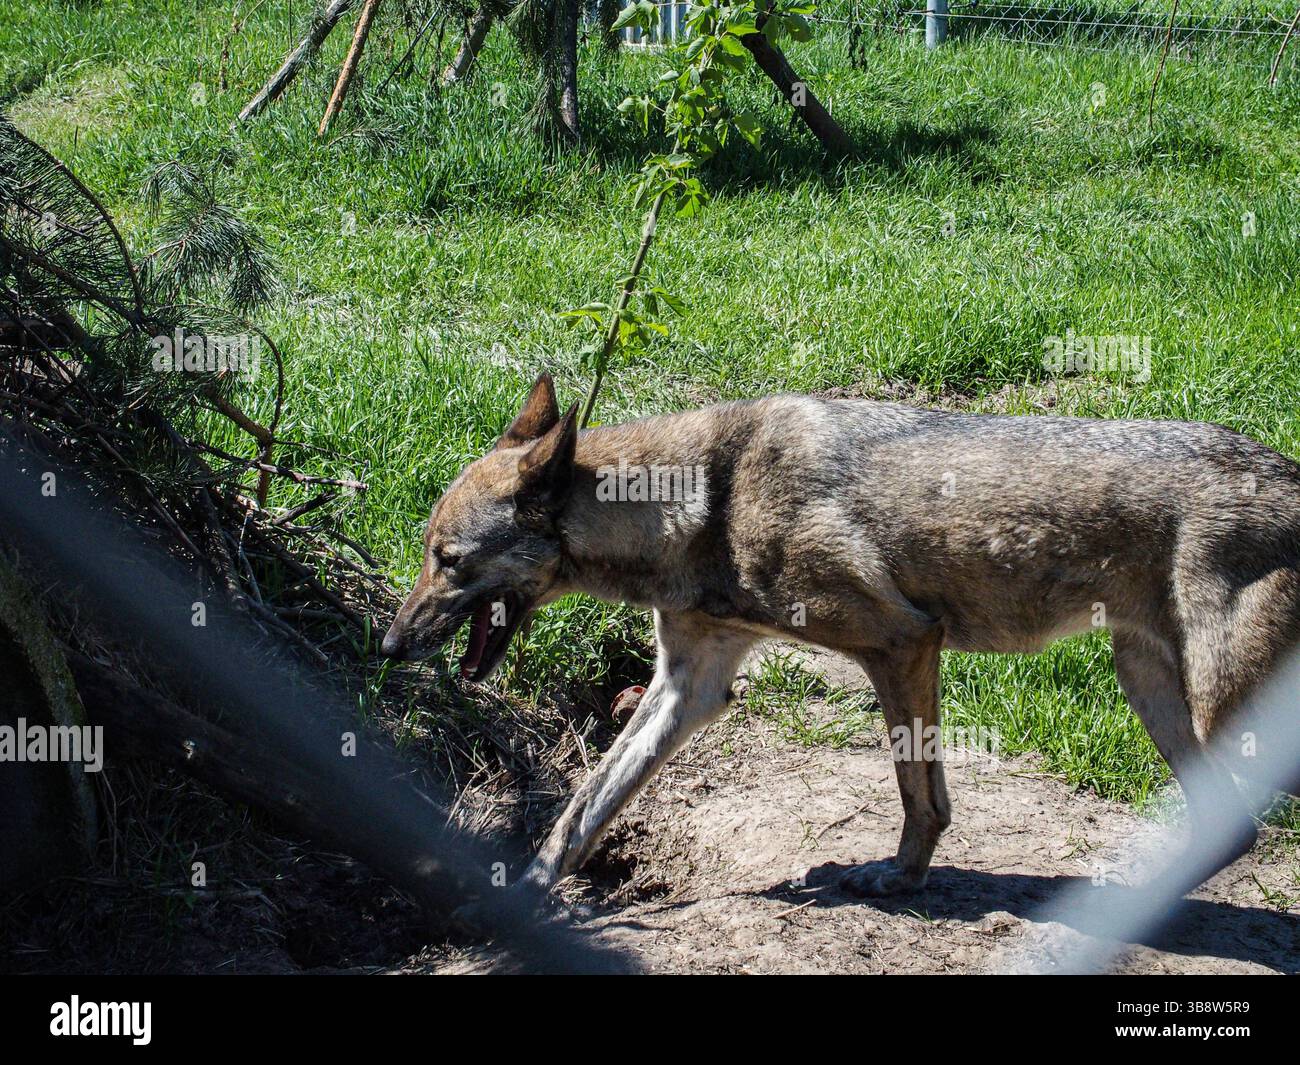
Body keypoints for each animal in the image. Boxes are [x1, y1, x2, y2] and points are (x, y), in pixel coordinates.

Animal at [382, 373, 1300, 903]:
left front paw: (896, 878)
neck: (703, 502)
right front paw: (528, 889)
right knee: (1231, 827)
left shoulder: (903, 643)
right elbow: (583, 807)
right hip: (1149, 686)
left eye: (447, 560)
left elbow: (922, 798)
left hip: (1220, 708)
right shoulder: (689, 686)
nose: (388, 647)